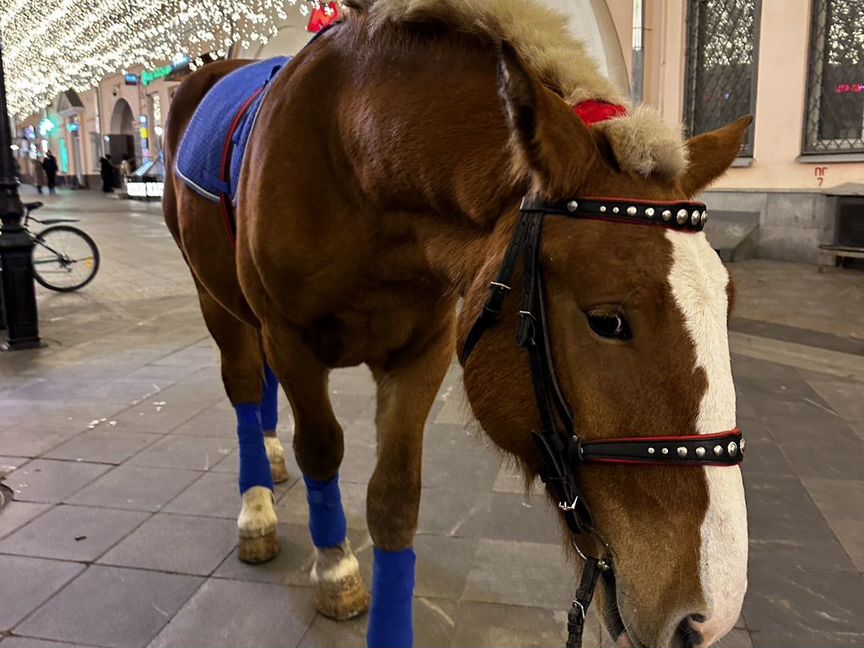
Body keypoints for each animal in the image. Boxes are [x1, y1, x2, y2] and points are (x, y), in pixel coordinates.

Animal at [162, 0, 752, 646]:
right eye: (607, 320)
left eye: (727, 304)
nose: (711, 613)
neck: (354, 153)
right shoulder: (292, 341)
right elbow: (320, 450)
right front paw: (336, 569)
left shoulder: (424, 351)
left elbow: (396, 496)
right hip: (215, 302)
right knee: (245, 384)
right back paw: (256, 503)